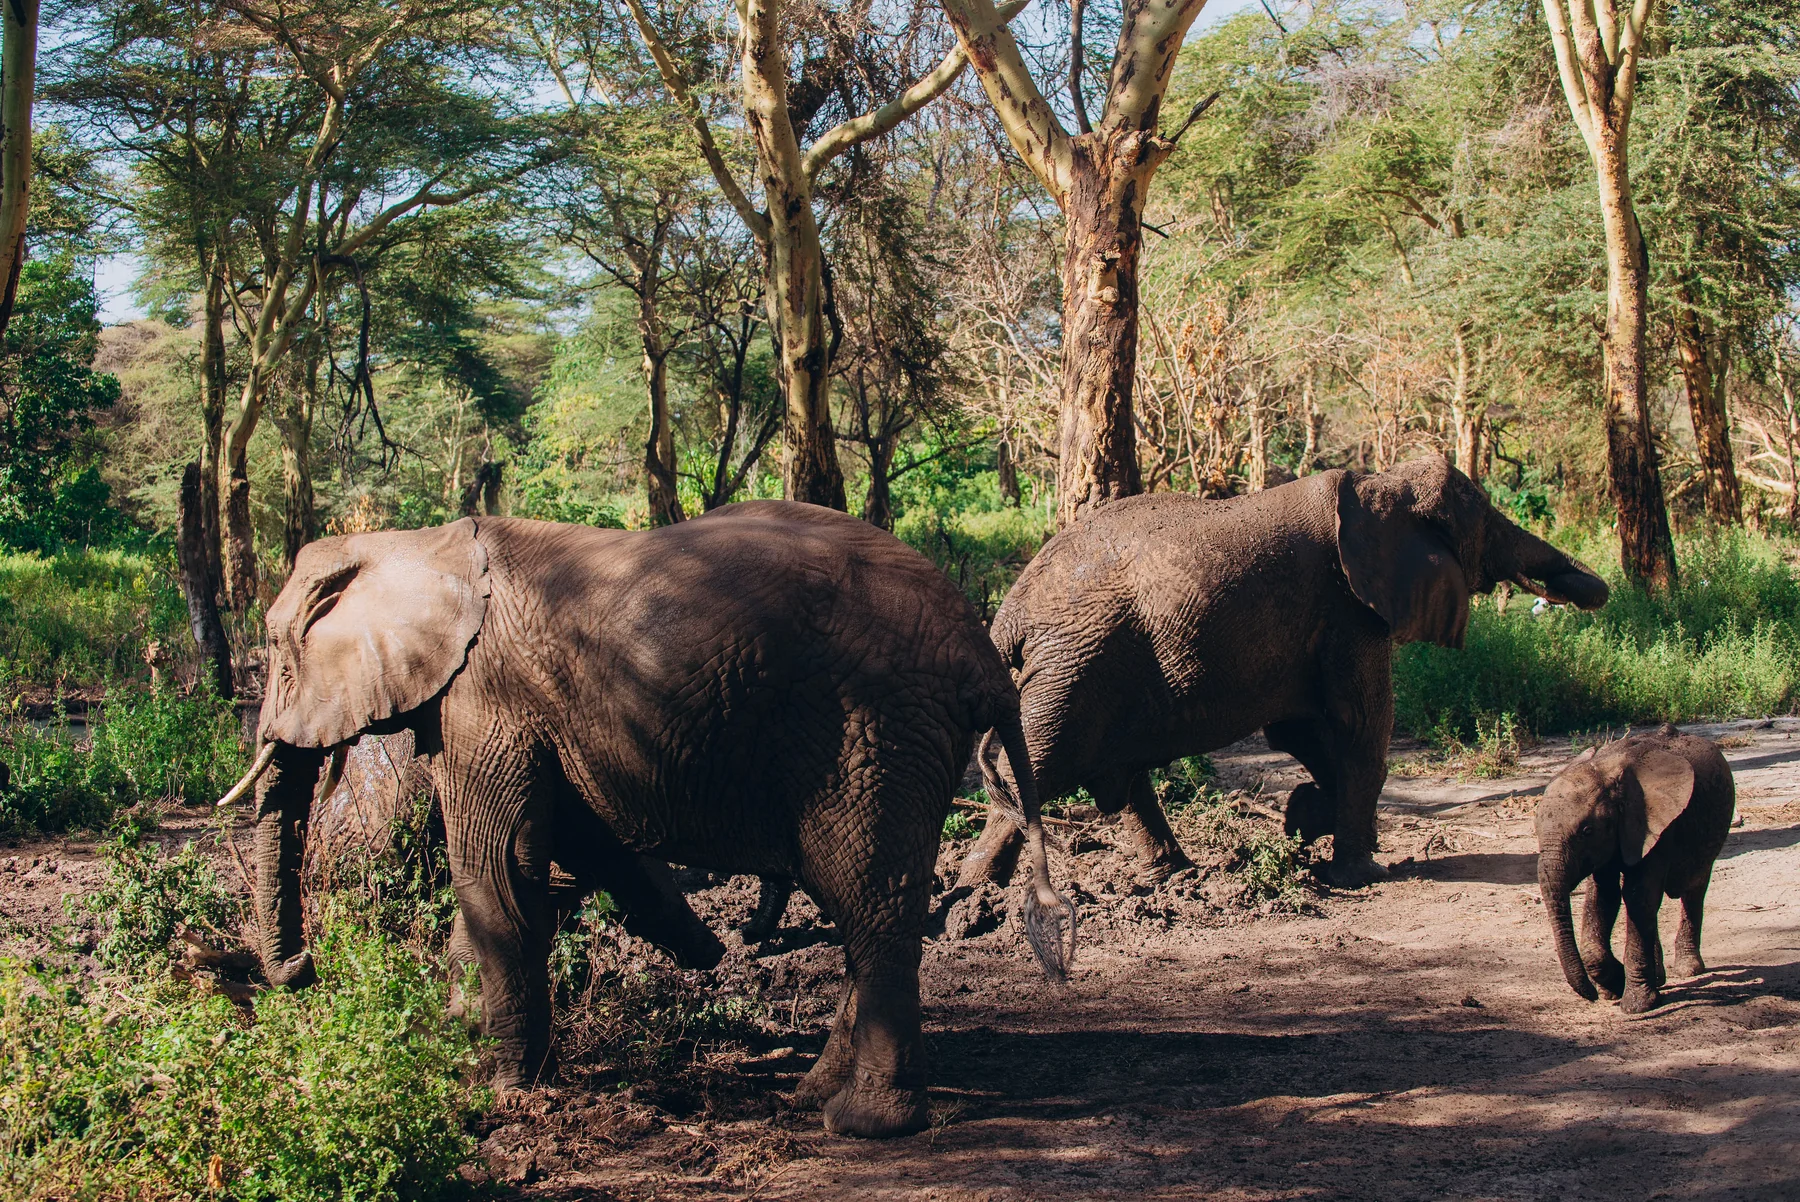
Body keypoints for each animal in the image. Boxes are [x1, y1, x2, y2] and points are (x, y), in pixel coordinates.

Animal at [217, 502, 1072, 1138]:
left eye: (279, 652)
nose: (304, 972)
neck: (417, 542)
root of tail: (984, 655)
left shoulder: (484, 699)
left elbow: (498, 870)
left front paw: (495, 1090)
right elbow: (575, 853)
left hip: (875, 732)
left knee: (867, 898)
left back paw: (861, 1123)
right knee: (863, 903)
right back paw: (810, 1094)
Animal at [957, 455, 1610, 890]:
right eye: (1483, 526)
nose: (1596, 592)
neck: (1377, 483)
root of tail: (1009, 616)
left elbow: (1306, 732)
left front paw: (1304, 822)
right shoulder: (1348, 607)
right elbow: (1358, 728)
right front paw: (1358, 872)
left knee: (1114, 773)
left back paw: (1174, 875)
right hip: (1076, 665)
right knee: (1041, 770)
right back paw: (973, 895)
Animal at [1535, 725, 1735, 1014]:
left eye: (1587, 831)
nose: (1591, 995)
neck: (1605, 770)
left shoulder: (1659, 826)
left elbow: (1638, 896)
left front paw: (1636, 1004)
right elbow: (1603, 896)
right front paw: (1613, 988)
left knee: (1694, 888)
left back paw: (1688, 969)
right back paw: (1659, 978)